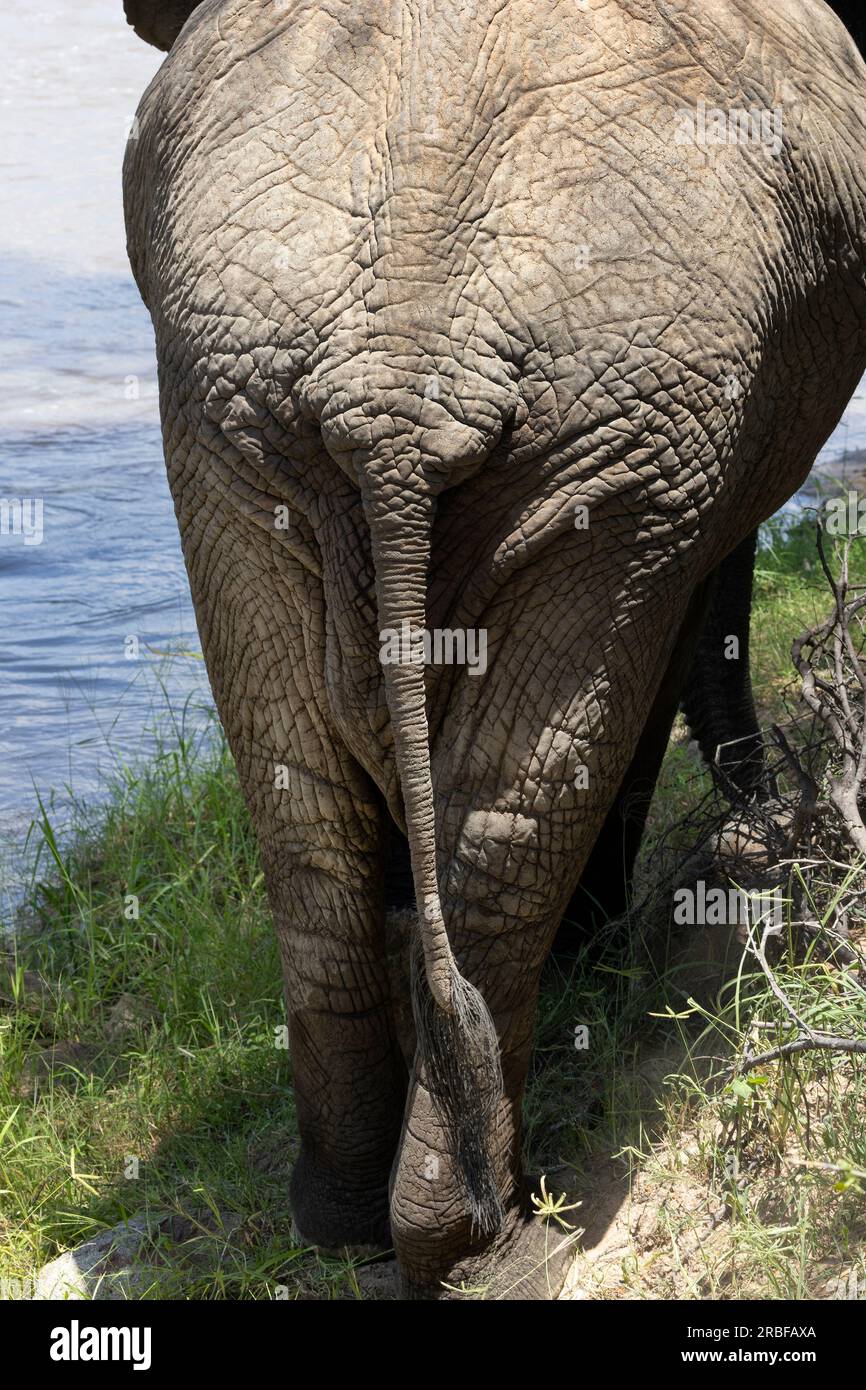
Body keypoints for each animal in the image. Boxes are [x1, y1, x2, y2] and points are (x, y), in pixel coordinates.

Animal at [120, 0, 866, 1297]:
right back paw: (488, 1234)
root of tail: (399, 375)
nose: (768, 815)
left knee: (316, 808)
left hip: (267, 411)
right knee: (508, 799)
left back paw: (353, 1217)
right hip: (606, 419)